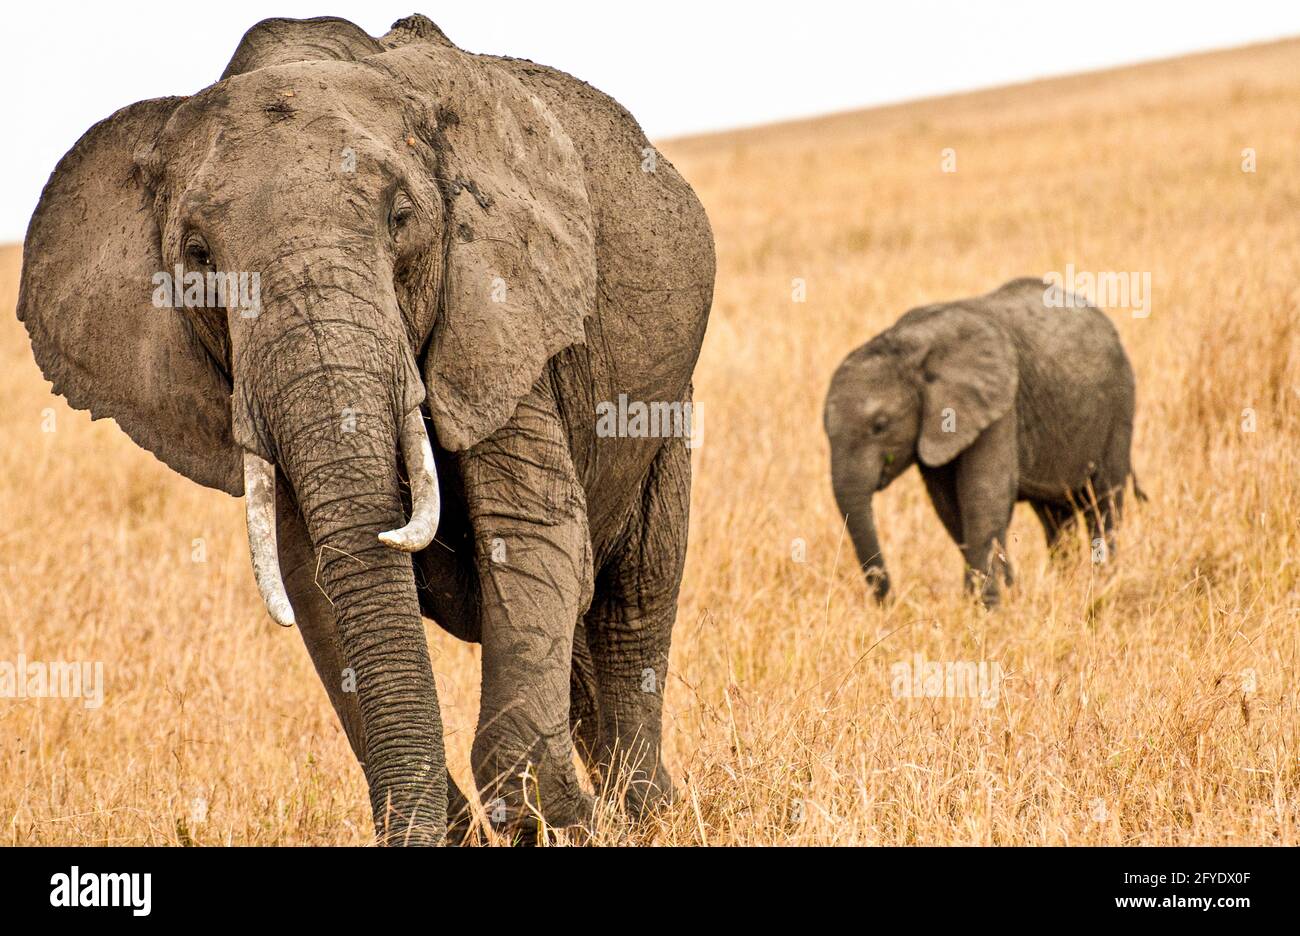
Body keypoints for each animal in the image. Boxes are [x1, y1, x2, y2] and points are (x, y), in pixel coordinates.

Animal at [17, 14, 713, 845]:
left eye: (401, 218)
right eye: (197, 256)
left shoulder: (503, 313)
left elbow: (531, 531)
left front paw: (557, 821)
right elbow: (318, 582)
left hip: (665, 403)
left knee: (633, 595)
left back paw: (644, 811)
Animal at [824, 278, 1142, 608]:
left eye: (879, 426)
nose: (893, 605)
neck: (910, 346)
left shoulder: (999, 405)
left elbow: (982, 497)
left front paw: (988, 608)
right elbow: (950, 508)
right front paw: (997, 595)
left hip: (1119, 405)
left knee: (1104, 501)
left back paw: (1104, 582)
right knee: (1056, 516)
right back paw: (1065, 582)